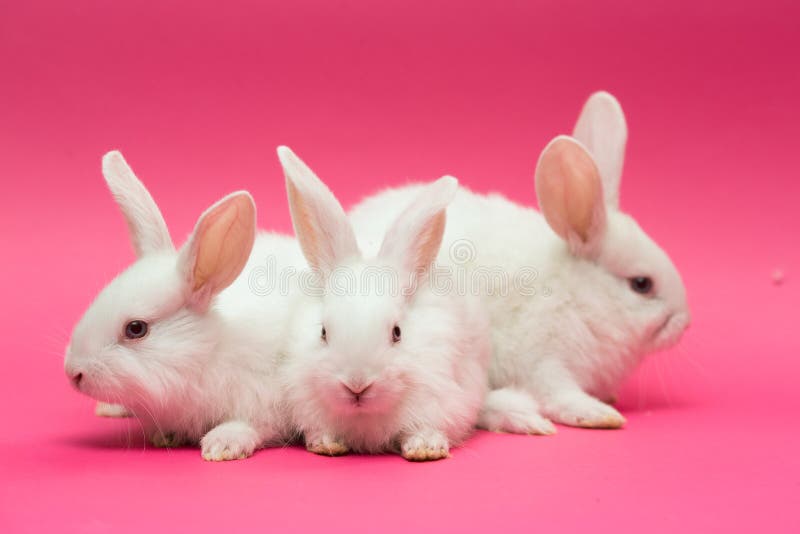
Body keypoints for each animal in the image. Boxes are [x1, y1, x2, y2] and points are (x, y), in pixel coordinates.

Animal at [64, 150, 307, 460]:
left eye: (136, 329)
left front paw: (221, 445)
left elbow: (250, 423)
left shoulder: (263, 398)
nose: (73, 373)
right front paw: (165, 435)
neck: (211, 351)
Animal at [349, 91, 691, 433]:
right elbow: (559, 393)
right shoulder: (541, 358)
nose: (685, 322)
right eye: (642, 284)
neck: (580, 299)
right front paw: (598, 414)